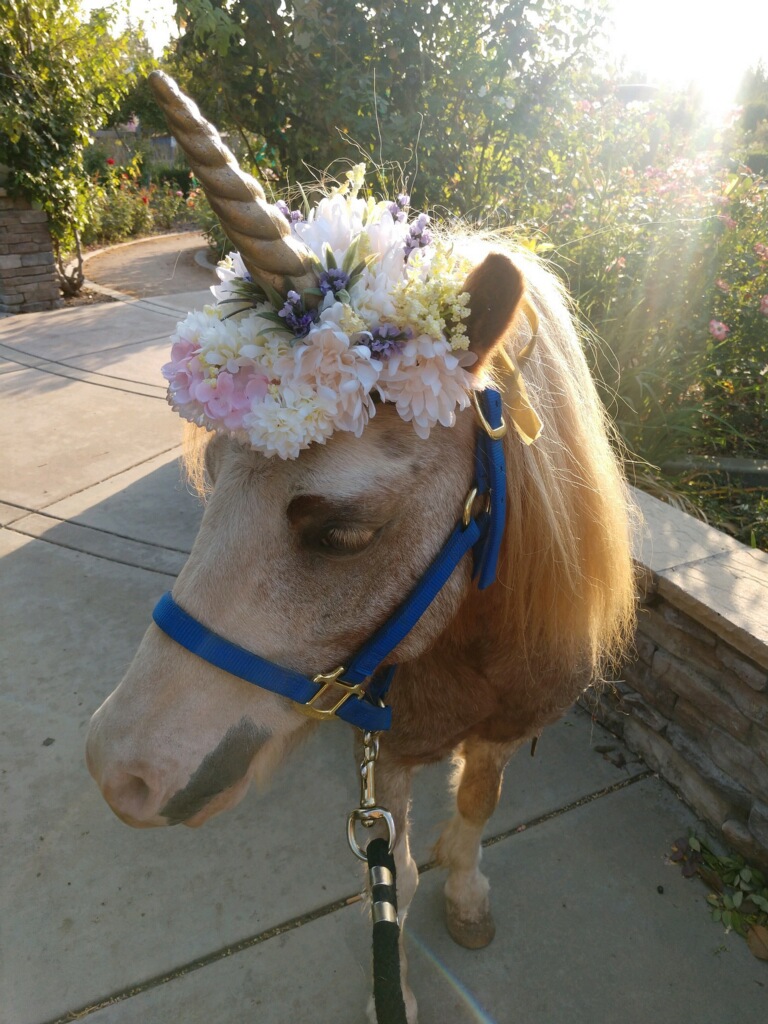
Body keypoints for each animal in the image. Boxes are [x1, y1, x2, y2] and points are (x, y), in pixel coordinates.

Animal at [85, 72, 636, 1023]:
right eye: (213, 474)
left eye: (343, 532)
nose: (119, 773)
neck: (474, 653)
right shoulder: (391, 759)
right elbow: (396, 877)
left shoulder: (499, 734)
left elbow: (480, 806)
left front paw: (468, 892)